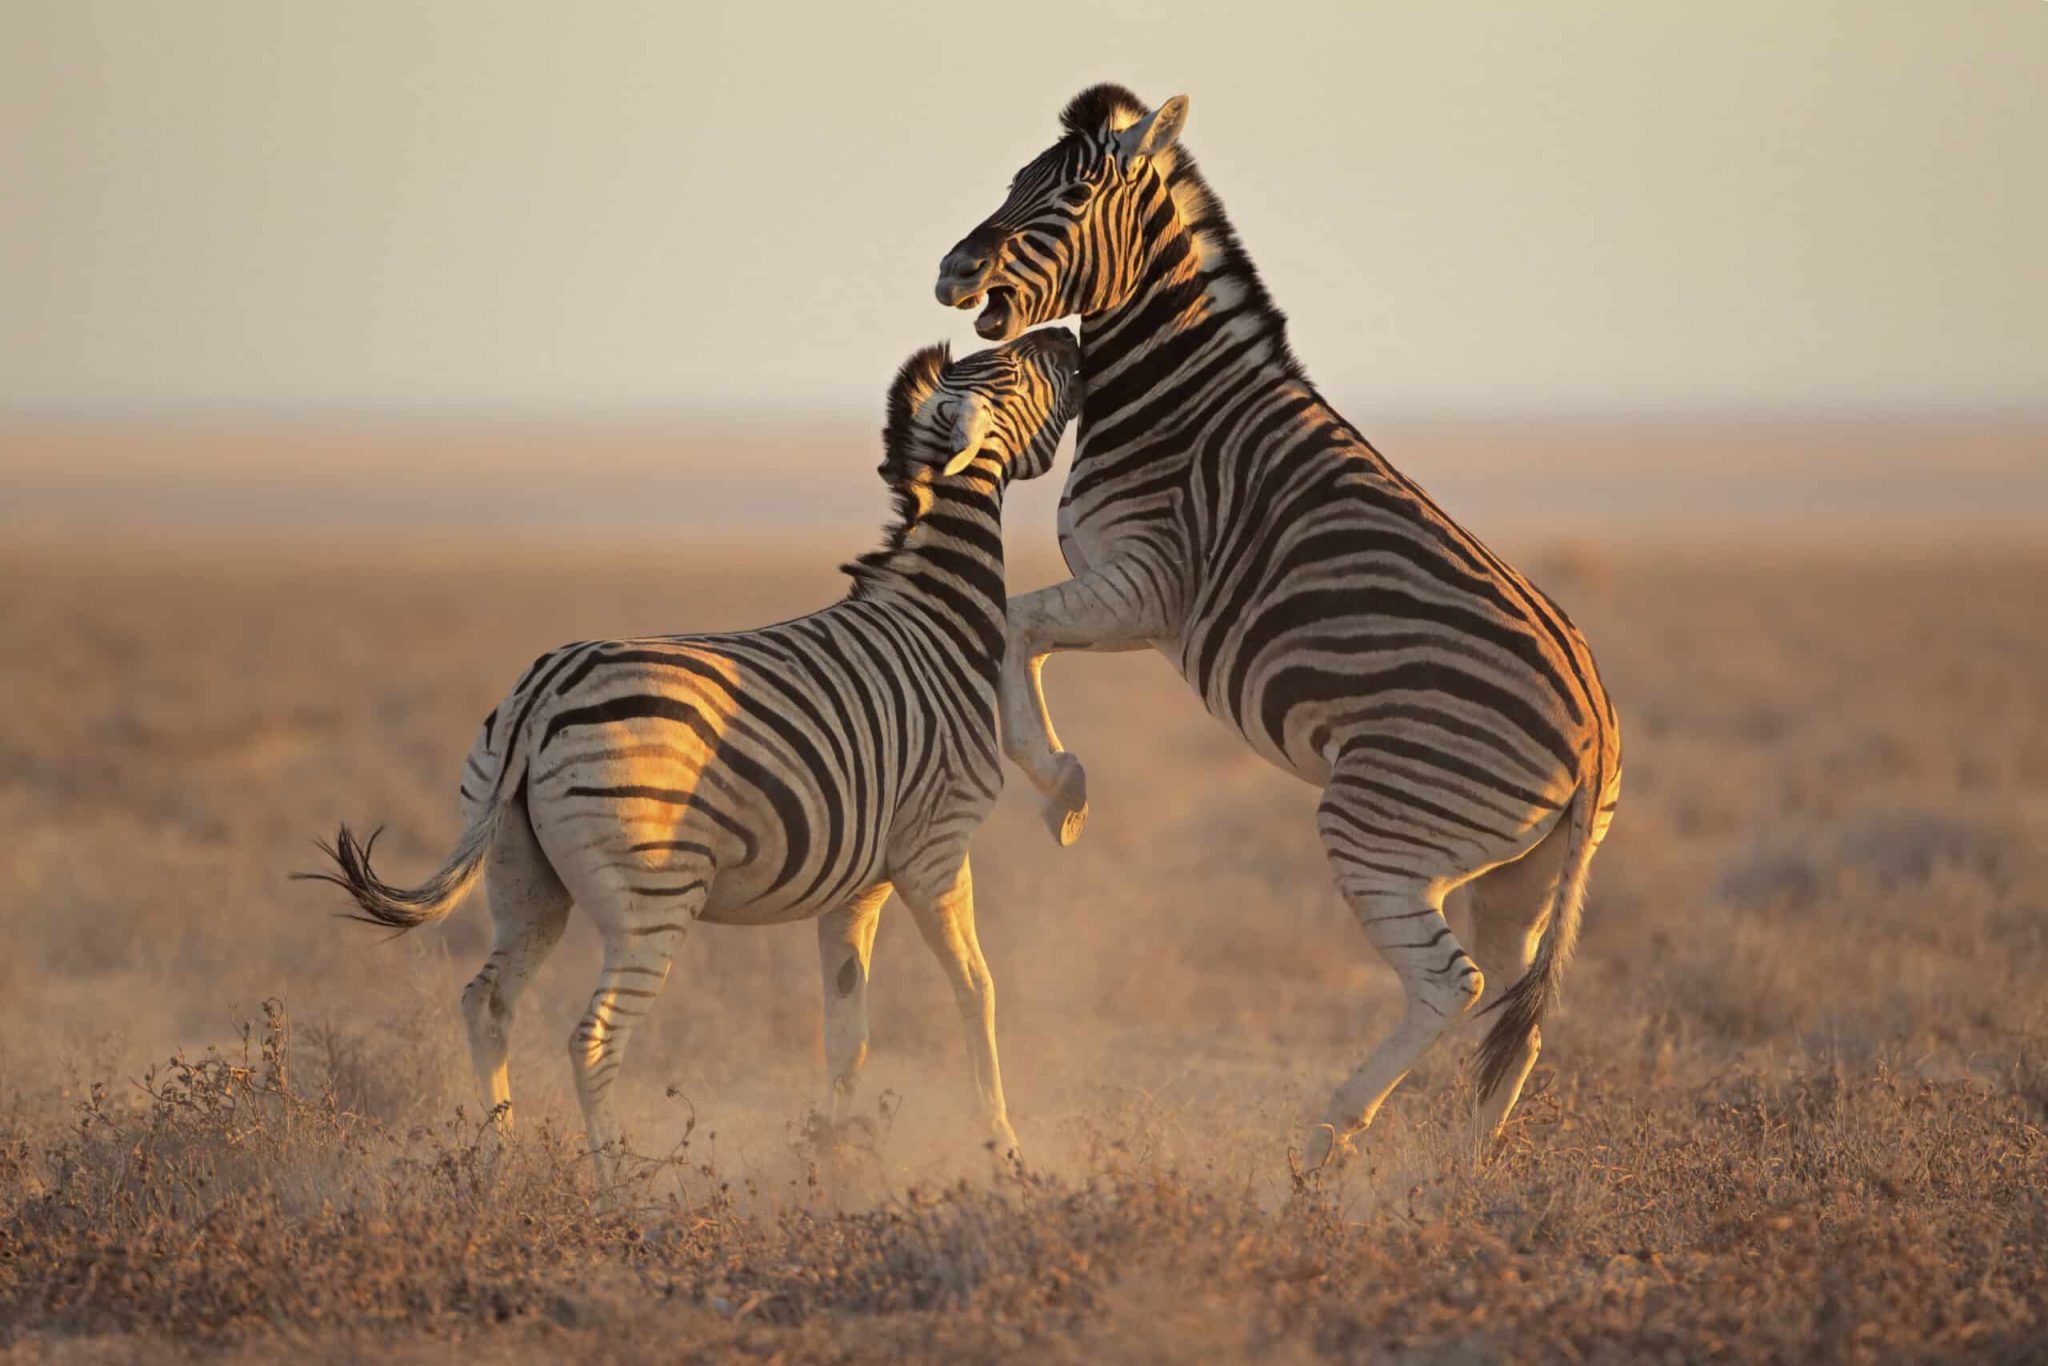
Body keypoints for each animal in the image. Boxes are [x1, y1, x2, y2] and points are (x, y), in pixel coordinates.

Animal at [300, 327, 1082, 1187]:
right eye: (1014, 371)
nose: (1067, 337)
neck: (936, 617)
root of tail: (540, 695)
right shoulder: (936, 851)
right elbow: (977, 992)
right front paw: (1006, 1151)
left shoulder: (858, 885)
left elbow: (847, 1032)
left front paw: (831, 1160)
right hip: (653, 897)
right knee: (592, 1039)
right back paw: (617, 1190)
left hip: (523, 879)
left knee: (487, 1004)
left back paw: (499, 1162)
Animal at [932, 85, 1622, 1167]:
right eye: (1015, 181)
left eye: (1070, 194)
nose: (953, 271)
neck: (1176, 398)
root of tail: (1593, 727)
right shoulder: (1131, 594)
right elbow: (1020, 630)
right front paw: (1060, 785)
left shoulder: (1147, 586)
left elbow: (1012, 624)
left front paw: (1061, 788)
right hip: (1523, 871)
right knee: (1514, 1012)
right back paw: (1459, 1176)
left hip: (1380, 823)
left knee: (1450, 985)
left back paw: (1328, 1134)